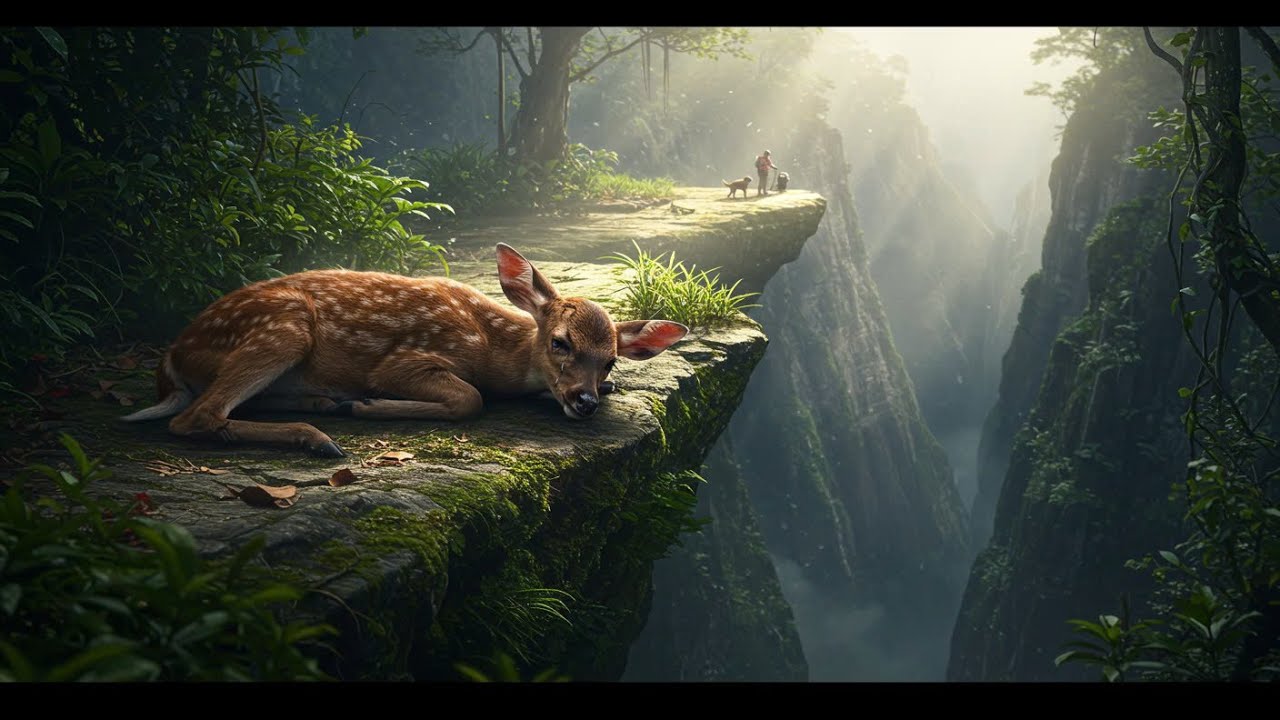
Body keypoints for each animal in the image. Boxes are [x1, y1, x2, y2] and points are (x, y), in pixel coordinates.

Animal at [121, 244, 689, 458]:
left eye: (610, 360)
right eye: (560, 342)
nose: (585, 400)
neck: (493, 347)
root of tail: (172, 357)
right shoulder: (405, 359)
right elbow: (469, 399)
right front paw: (367, 403)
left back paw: (323, 405)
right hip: (282, 329)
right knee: (196, 417)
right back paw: (321, 435)